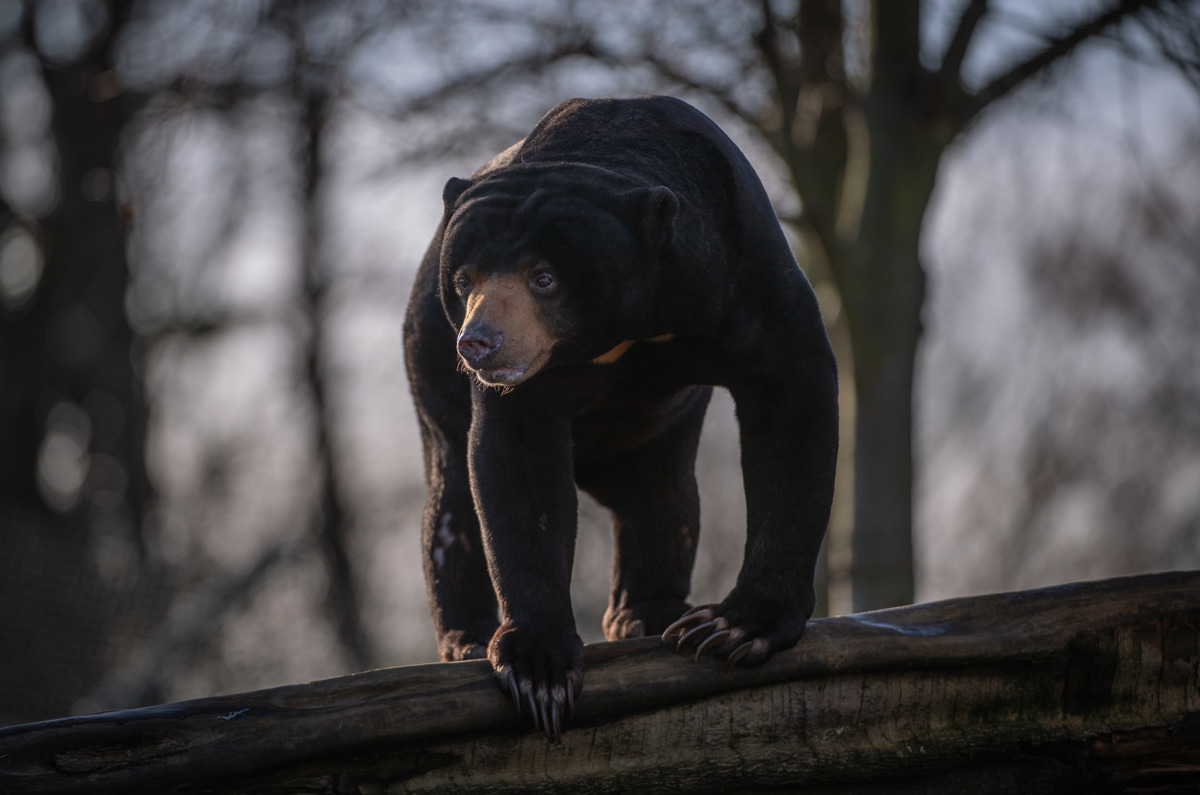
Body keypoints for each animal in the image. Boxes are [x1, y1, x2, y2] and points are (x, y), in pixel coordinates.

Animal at [403, 96, 838, 739]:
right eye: (464, 281)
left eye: (544, 278)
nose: (479, 343)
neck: (628, 325)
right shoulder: (523, 377)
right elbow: (516, 467)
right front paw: (540, 671)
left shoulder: (745, 273)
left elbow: (792, 404)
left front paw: (731, 629)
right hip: (428, 363)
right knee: (453, 500)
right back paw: (468, 640)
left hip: (662, 429)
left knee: (665, 494)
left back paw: (651, 617)